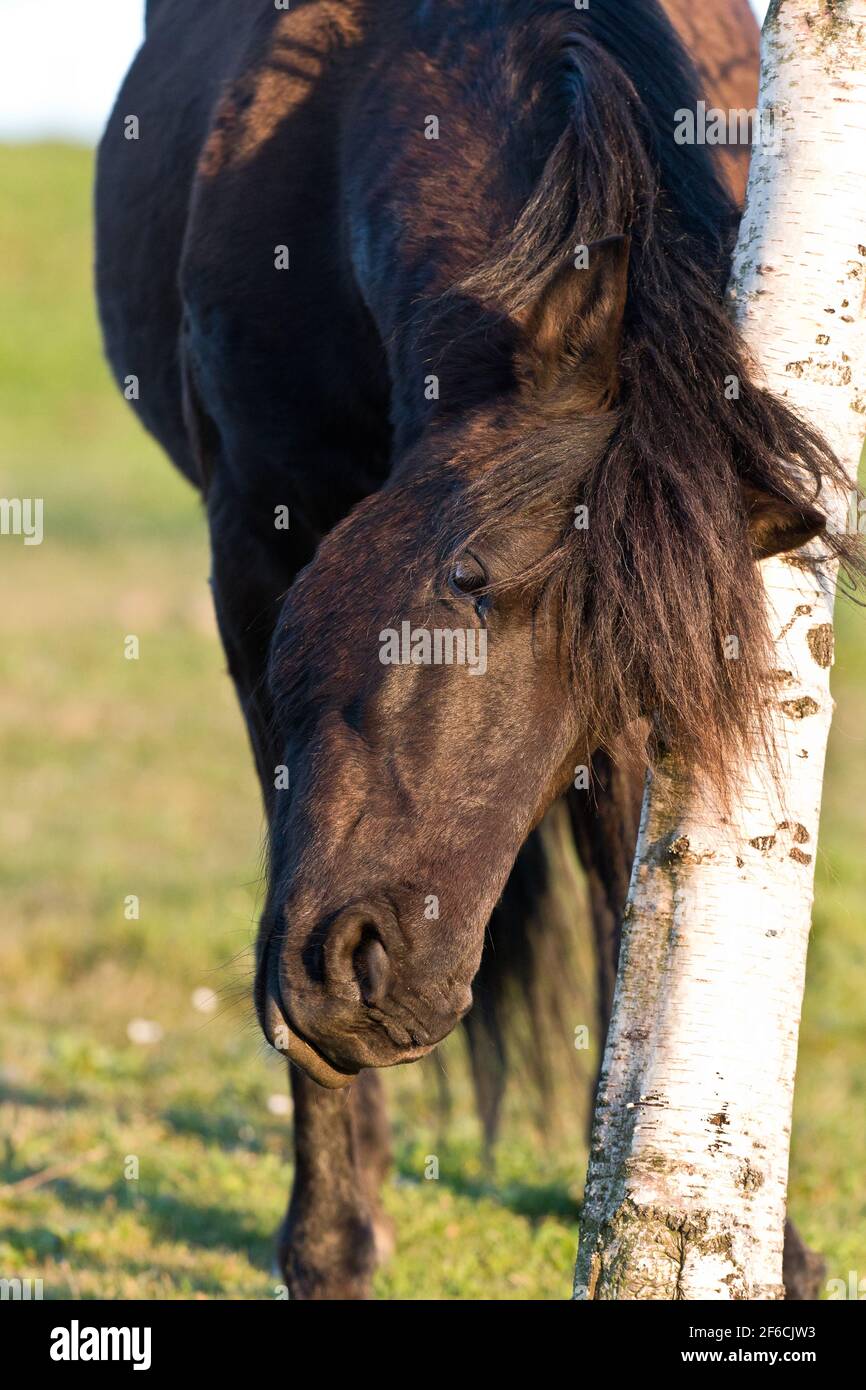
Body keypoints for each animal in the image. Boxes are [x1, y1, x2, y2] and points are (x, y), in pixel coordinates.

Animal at [96, 0, 844, 1299]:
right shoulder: (251, 553)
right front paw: (331, 1244)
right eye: (468, 577)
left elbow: (633, 895)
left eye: (621, 670)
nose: (376, 978)